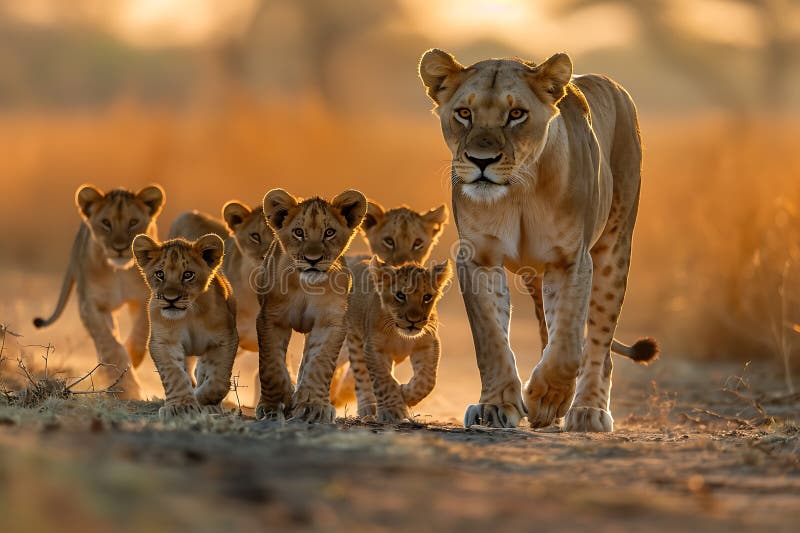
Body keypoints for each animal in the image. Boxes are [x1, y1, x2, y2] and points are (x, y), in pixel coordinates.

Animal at [33, 184, 166, 400]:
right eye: (106, 223)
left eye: (133, 222)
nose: (119, 248)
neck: (119, 272)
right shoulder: (91, 305)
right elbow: (109, 344)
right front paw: (125, 385)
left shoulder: (145, 298)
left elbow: (141, 333)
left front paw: (133, 358)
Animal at [132, 233, 238, 419]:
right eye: (160, 274)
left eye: (188, 275)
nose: (171, 299)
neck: (190, 314)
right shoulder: (164, 342)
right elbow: (174, 375)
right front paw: (180, 406)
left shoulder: (226, 339)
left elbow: (219, 379)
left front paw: (201, 399)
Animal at [254, 188, 367, 423]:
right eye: (298, 232)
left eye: (329, 232)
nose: (312, 259)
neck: (306, 286)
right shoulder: (271, 318)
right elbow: (271, 364)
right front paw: (273, 405)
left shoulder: (330, 322)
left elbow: (319, 364)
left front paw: (312, 406)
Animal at [345, 256, 452, 423]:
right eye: (400, 295)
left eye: (427, 297)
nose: (413, 321)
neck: (400, 335)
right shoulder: (374, 348)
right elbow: (383, 380)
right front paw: (392, 410)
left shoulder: (428, 344)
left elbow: (427, 380)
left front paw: (405, 393)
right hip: (355, 341)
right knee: (361, 376)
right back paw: (368, 407)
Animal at [418, 49, 658, 432]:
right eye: (464, 113)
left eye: (516, 114)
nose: (481, 161)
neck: (519, 190)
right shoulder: (478, 258)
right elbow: (491, 338)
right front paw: (496, 405)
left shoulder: (571, 259)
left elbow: (568, 345)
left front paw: (546, 399)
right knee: (549, 331)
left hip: (613, 250)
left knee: (598, 344)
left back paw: (587, 410)